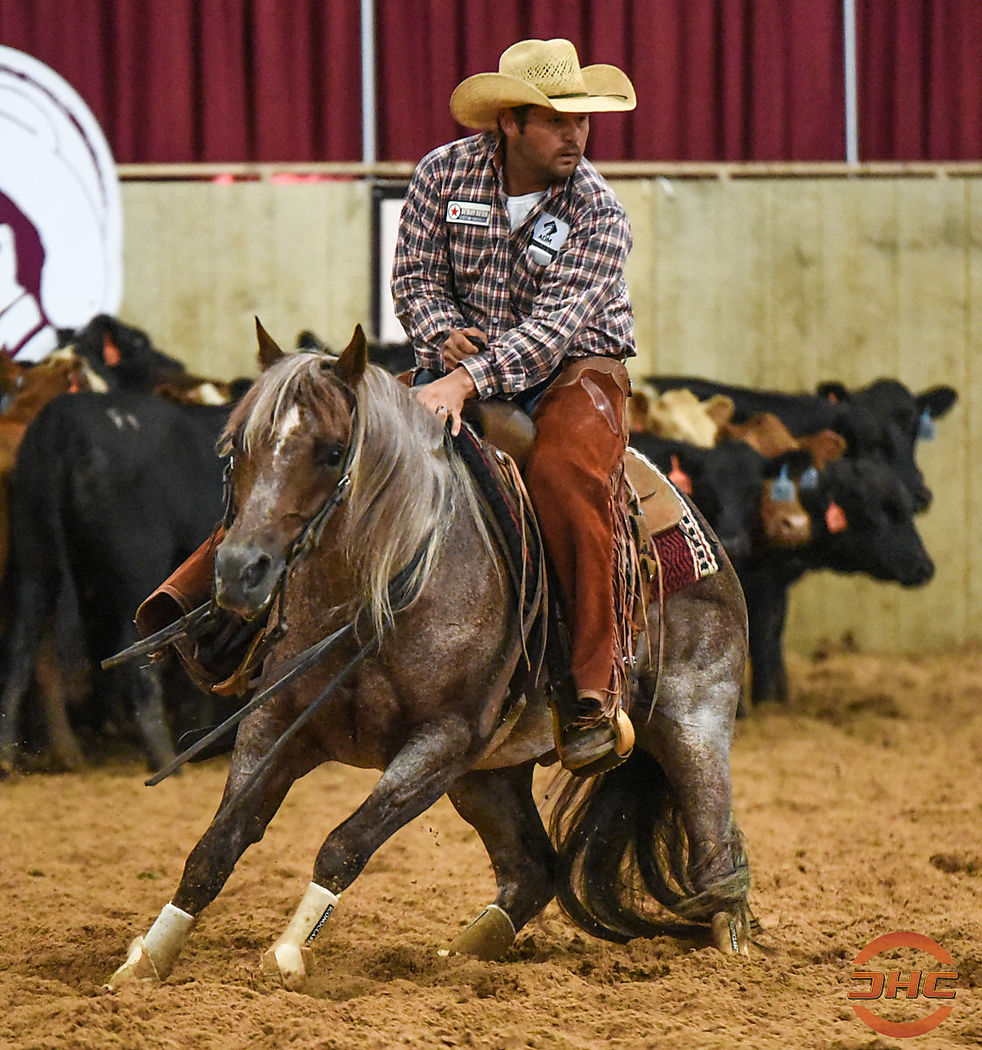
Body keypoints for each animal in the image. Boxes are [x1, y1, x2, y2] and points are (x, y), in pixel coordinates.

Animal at [105, 322, 754, 992]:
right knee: (532, 868)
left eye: (332, 451)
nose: (239, 571)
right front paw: (146, 960)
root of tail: (701, 532)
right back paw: (465, 952)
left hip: (692, 723)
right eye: (239, 446)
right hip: (488, 775)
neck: (378, 580)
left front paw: (286, 953)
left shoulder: (442, 741)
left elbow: (346, 842)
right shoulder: (277, 721)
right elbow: (218, 843)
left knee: (717, 857)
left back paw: (728, 961)